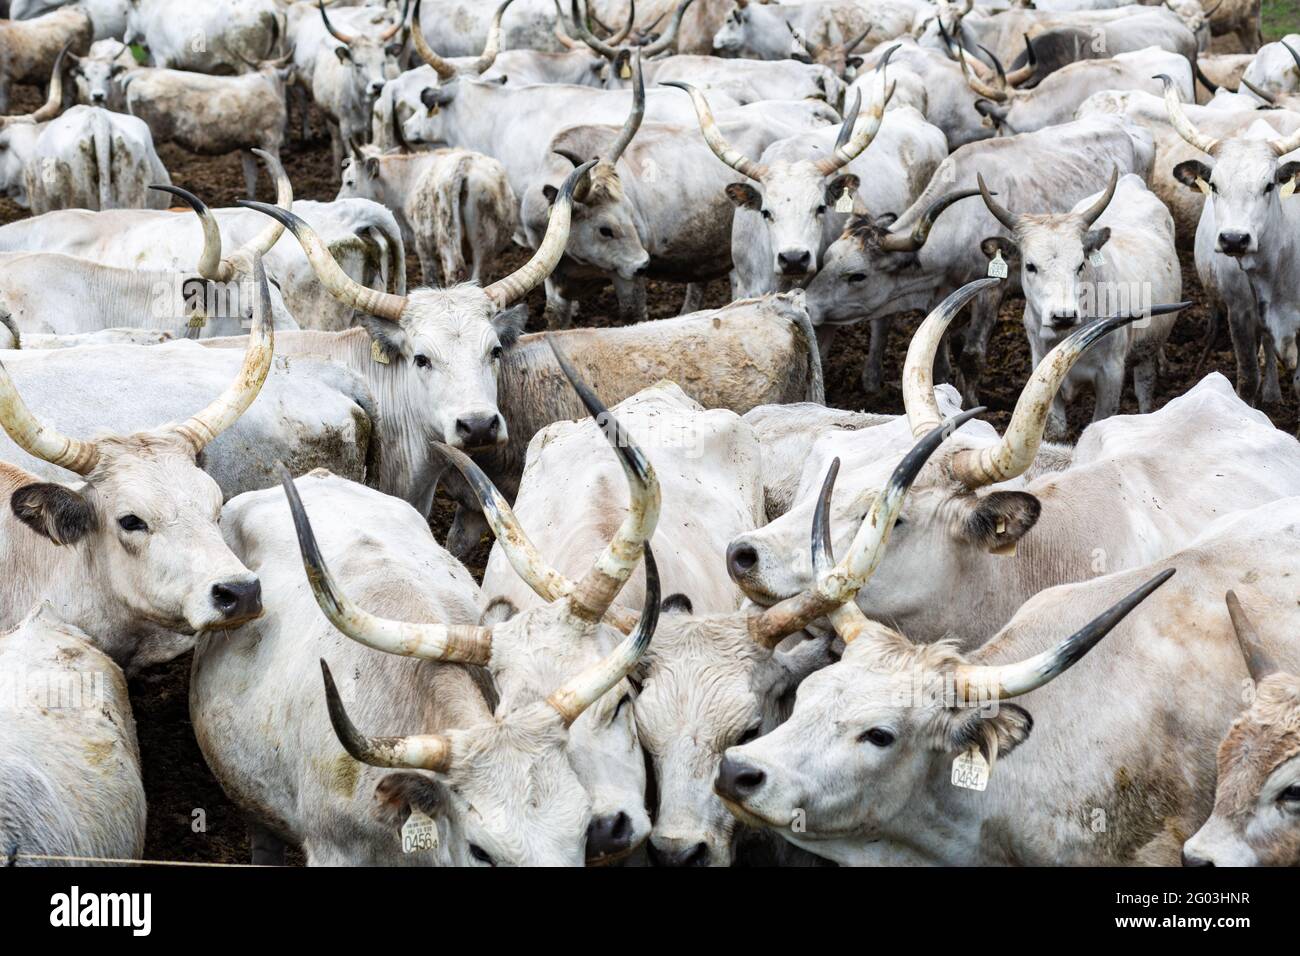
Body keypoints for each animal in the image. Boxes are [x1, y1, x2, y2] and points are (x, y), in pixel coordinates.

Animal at [340, 142, 516, 286]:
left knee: (454, 272)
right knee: (480, 276)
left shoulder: (422, 242)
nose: (339, 201)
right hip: (485, 243)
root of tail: (465, 163)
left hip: (445, 240)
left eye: (349, 181)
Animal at [803, 114, 1153, 400]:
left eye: (857, 275)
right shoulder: (942, 293)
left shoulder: (990, 289)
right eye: (828, 256)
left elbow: (972, 355)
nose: (807, 304)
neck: (964, 218)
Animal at [975, 169, 1183, 438]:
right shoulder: (1042, 370)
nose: (1063, 315)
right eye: (1030, 266)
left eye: (1081, 264)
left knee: (1144, 387)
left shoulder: (1111, 373)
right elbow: (1056, 429)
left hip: (1147, 348)